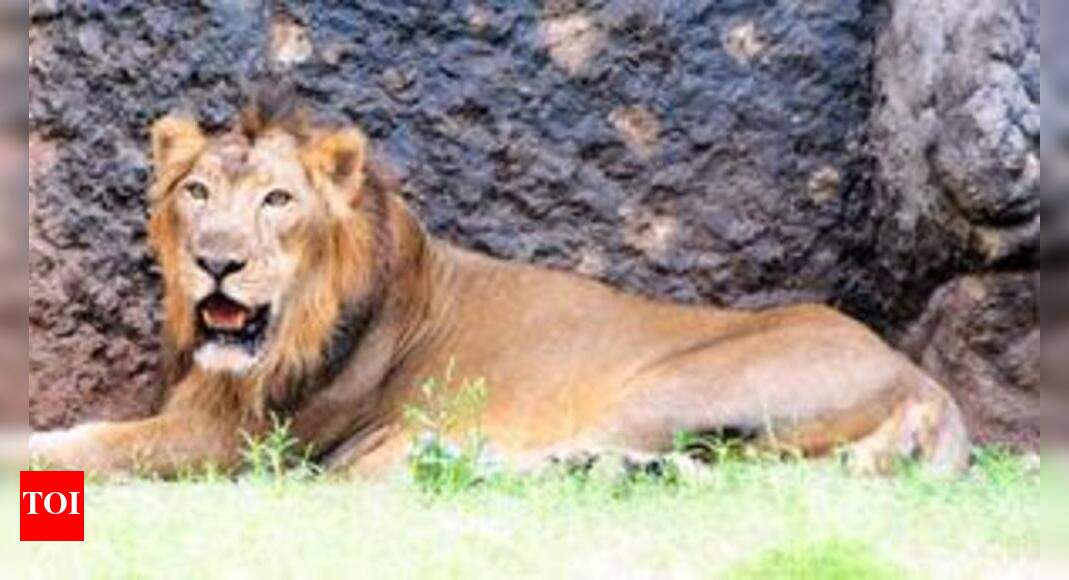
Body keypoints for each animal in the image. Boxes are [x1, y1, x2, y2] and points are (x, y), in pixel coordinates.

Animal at [28, 88, 969, 479]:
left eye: (277, 200)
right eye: (195, 193)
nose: (216, 259)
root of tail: (927, 383)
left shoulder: (235, 442)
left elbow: (83, 446)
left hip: (674, 383)